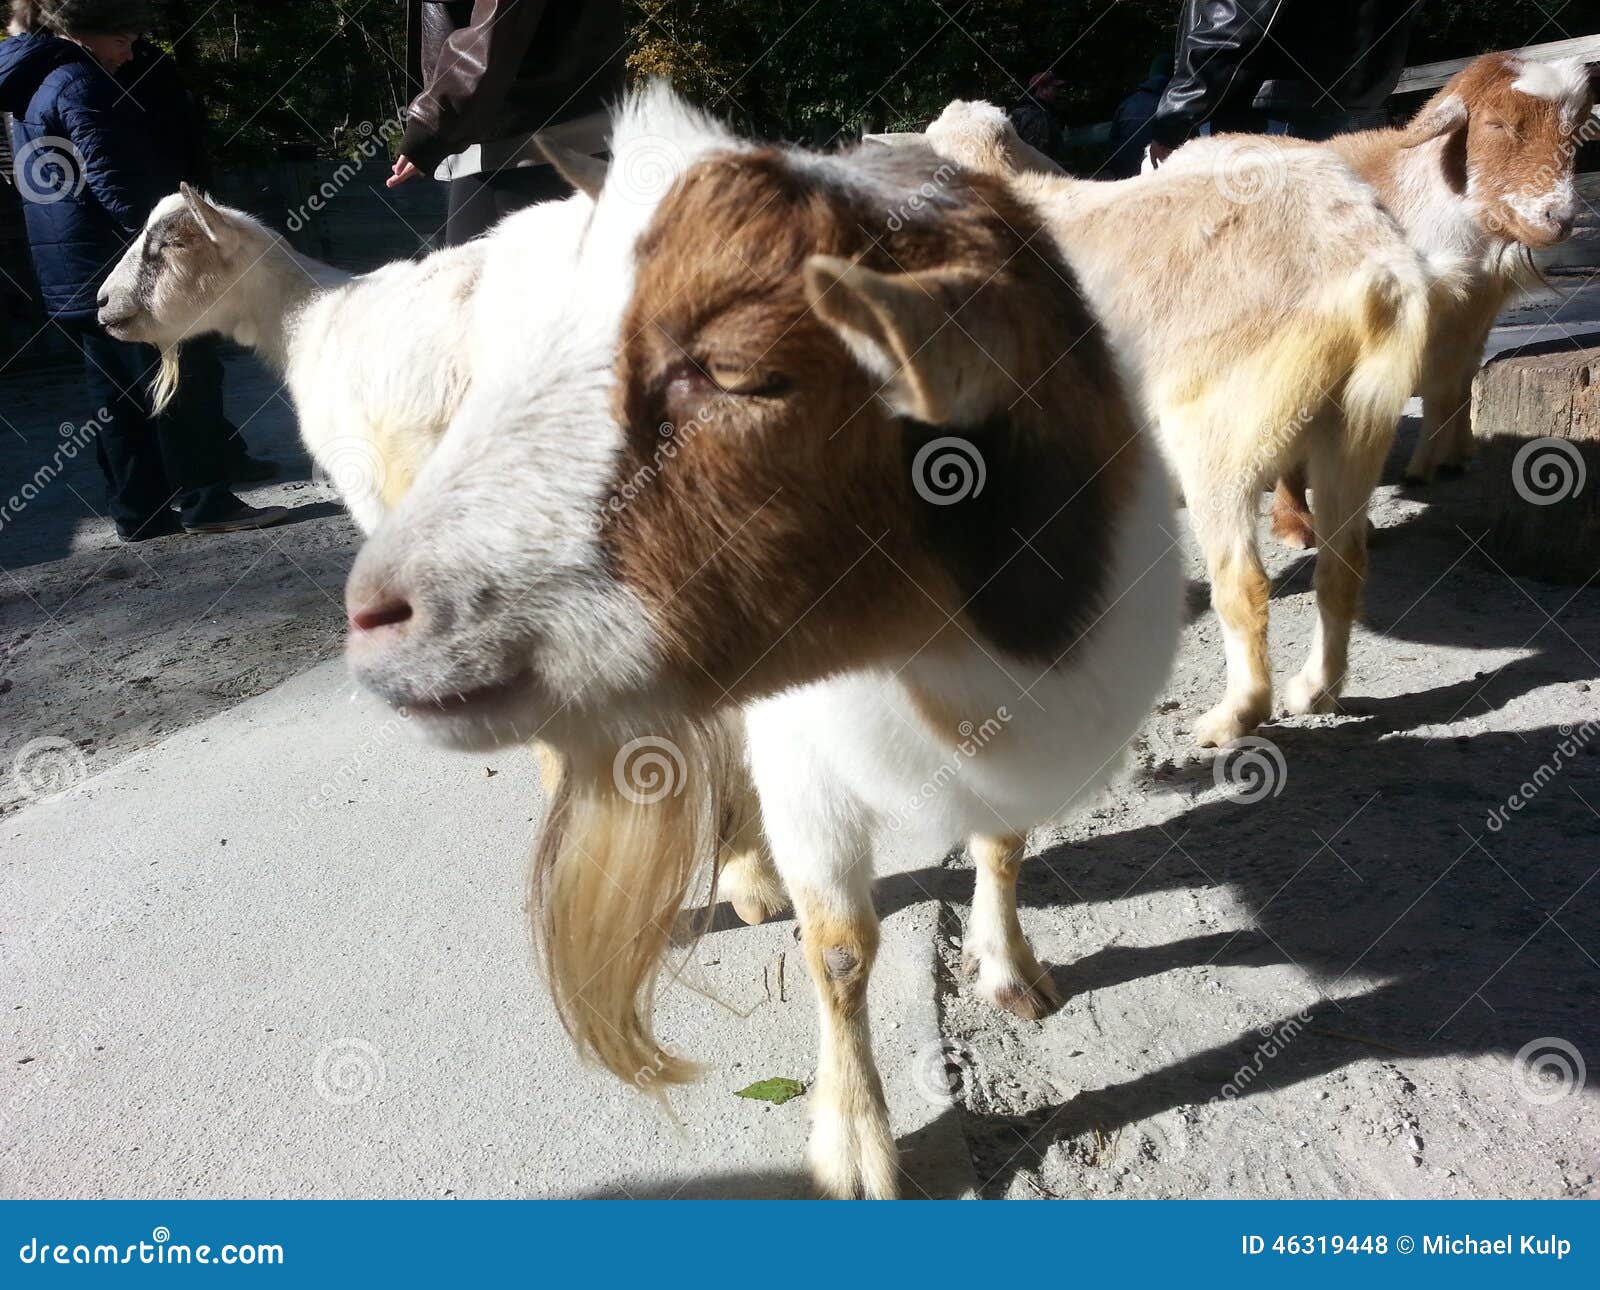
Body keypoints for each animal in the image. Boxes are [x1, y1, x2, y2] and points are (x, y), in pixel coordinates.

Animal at [341, 84, 1182, 1199]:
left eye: (734, 371)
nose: (374, 614)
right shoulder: (811, 761)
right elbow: (842, 946)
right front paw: (856, 1144)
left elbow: (1002, 845)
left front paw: (1011, 975)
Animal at [917, 100, 1431, 747]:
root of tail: (1375, 267)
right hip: (1353, 429)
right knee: (1343, 565)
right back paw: (1315, 690)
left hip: (1217, 431)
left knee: (1244, 584)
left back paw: (1233, 715)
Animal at [1272, 53, 1597, 548]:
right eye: (1497, 123)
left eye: (1575, 128)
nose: (1556, 219)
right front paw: (1299, 525)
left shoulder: (1469, 320)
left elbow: (1452, 389)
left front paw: (1437, 463)